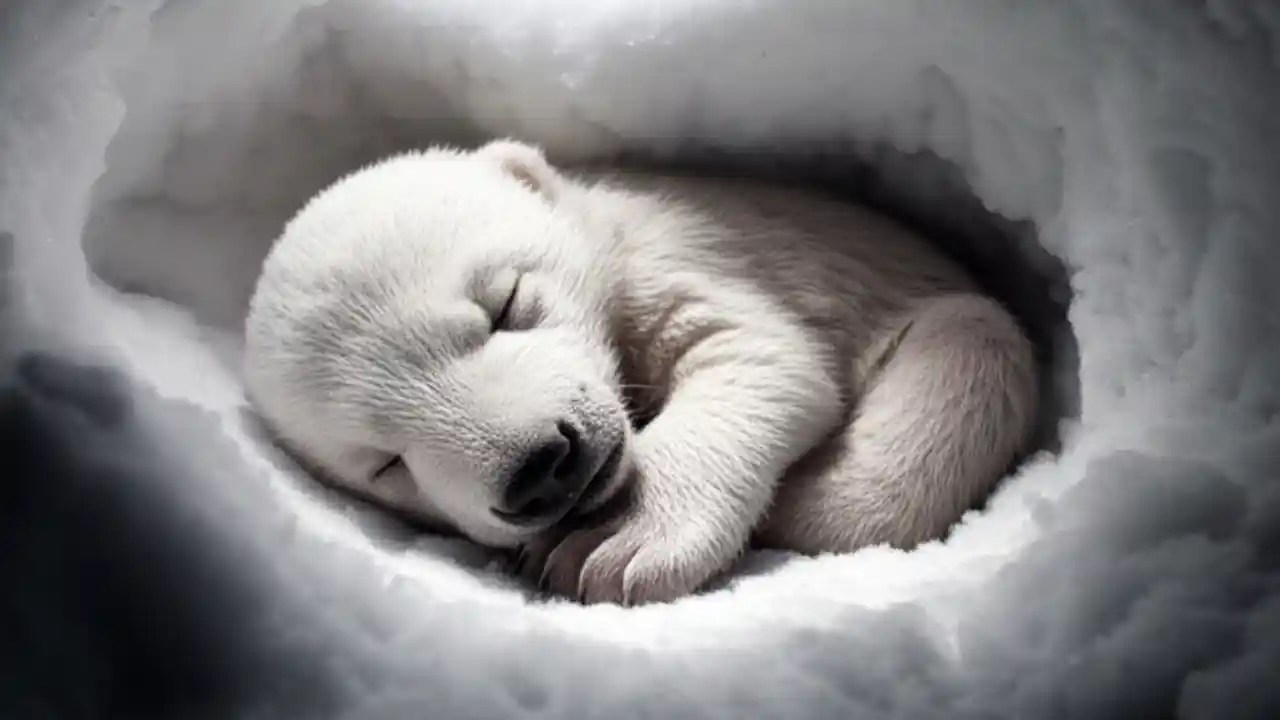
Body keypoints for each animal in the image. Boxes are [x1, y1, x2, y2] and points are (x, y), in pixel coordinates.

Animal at [242, 139, 1039, 605]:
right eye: (384, 463)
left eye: (507, 305)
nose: (543, 466)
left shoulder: (669, 249)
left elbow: (756, 354)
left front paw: (608, 545)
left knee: (973, 345)